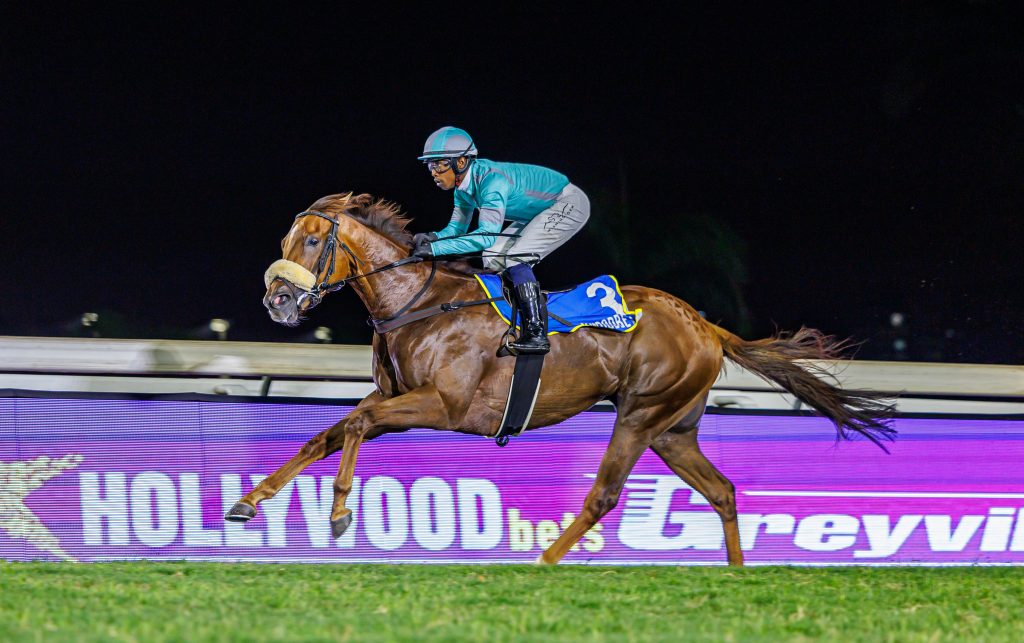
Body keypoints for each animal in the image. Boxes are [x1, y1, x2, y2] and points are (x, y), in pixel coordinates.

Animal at [225, 192, 896, 566]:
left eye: (315, 239)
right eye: (287, 237)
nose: (276, 301)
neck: (417, 303)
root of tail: (706, 325)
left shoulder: (443, 405)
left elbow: (357, 424)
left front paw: (339, 511)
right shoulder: (396, 396)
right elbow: (329, 433)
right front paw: (248, 501)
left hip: (640, 414)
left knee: (604, 494)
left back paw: (543, 561)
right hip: (674, 429)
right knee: (724, 491)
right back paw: (735, 572)